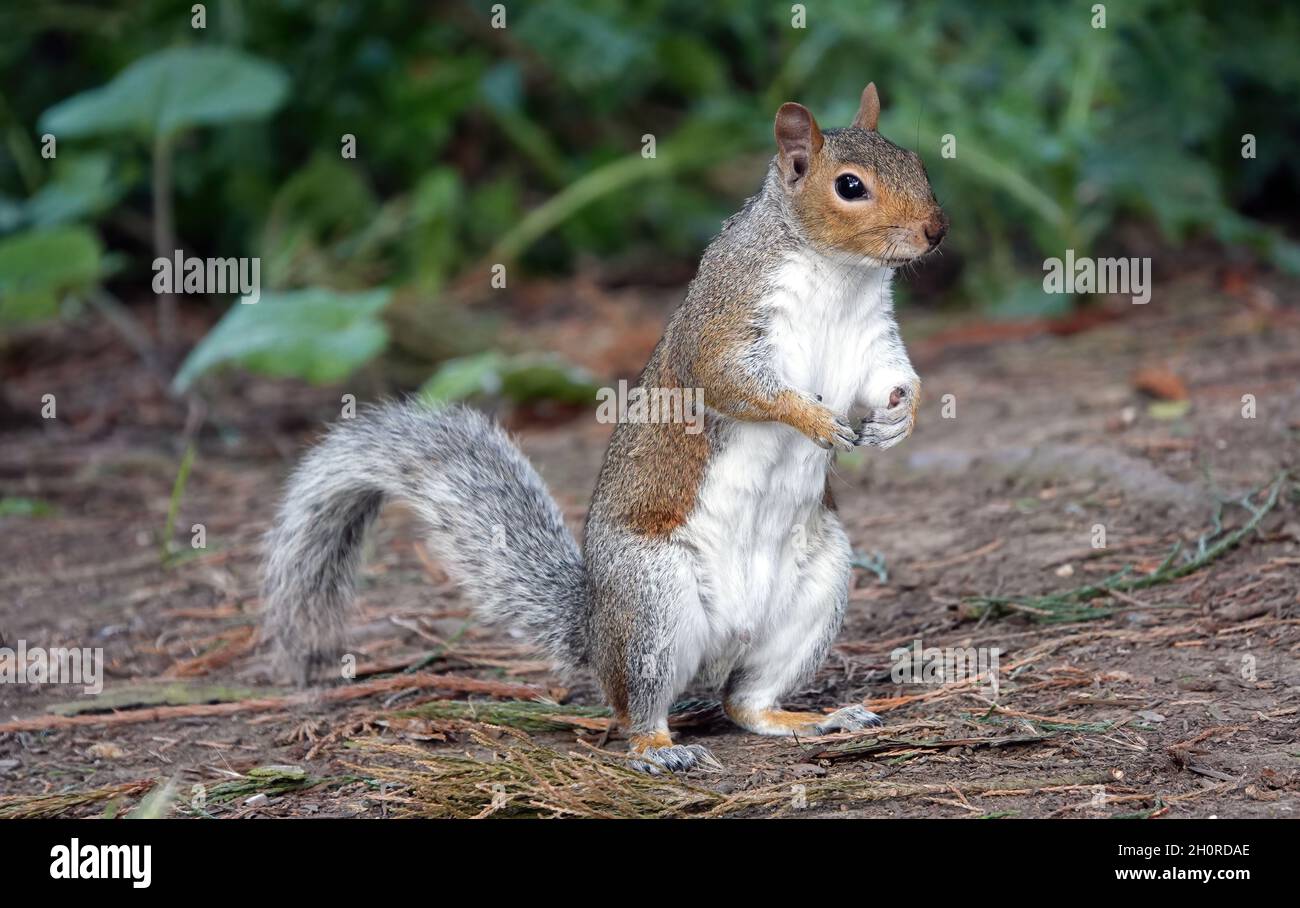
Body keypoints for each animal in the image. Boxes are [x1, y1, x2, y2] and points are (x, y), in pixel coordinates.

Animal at [262, 82, 947, 773]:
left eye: (917, 161)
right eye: (850, 186)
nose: (936, 230)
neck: (839, 272)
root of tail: (595, 628)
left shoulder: (870, 339)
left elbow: (890, 378)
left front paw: (901, 417)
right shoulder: (725, 319)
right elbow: (734, 382)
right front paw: (813, 418)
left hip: (816, 590)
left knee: (744, 703)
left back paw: (810, 718)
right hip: (652, 601)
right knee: (635, 709)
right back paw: (659, 750)